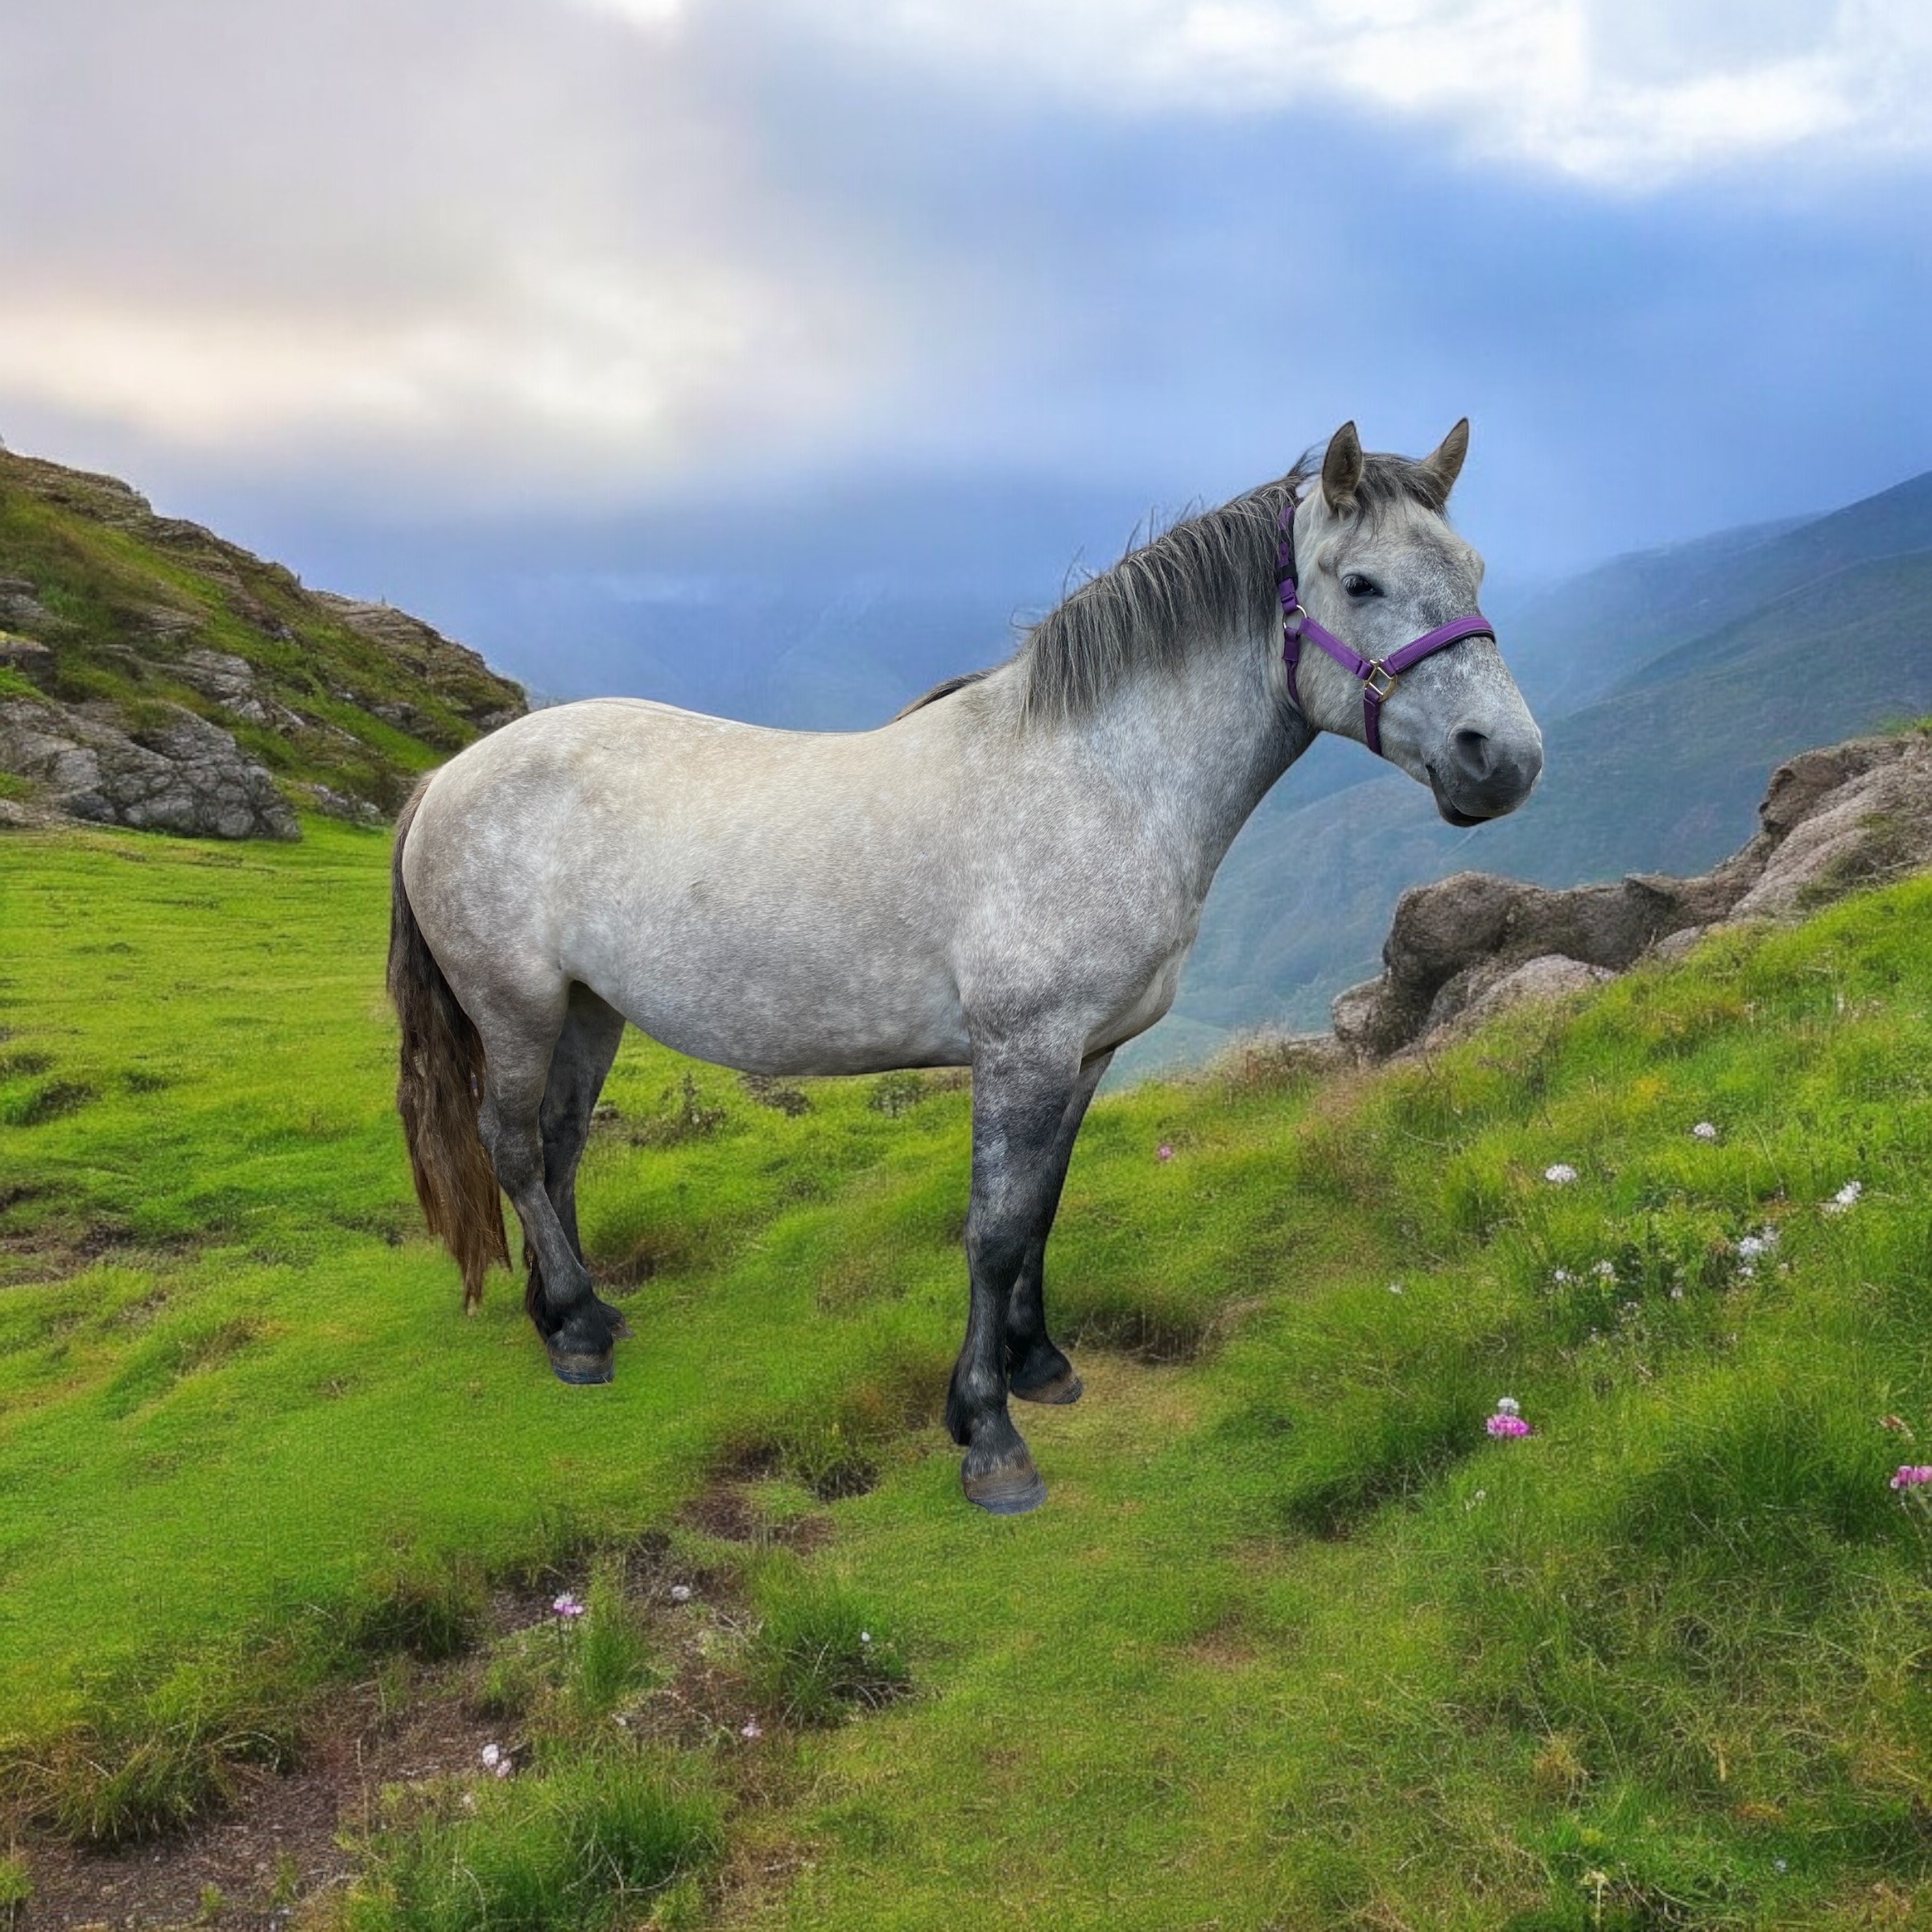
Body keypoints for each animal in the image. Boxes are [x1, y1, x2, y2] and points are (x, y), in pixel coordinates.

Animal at [387, 420, 1543, 1514]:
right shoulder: (1022, 1051)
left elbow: (1042, 1210)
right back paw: (579, 1332)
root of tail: (448, 776)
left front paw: (1040, 1365)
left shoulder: (1086, 1054)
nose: (1506, 760)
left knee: (561, 1145)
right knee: (514, 1147)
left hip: (588, 1009)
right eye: (1361, 583)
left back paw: (570, 1309)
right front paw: (989, 1436)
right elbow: (992, 1231)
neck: (1101, 782)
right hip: (516, 1005)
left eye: (1478, 569)